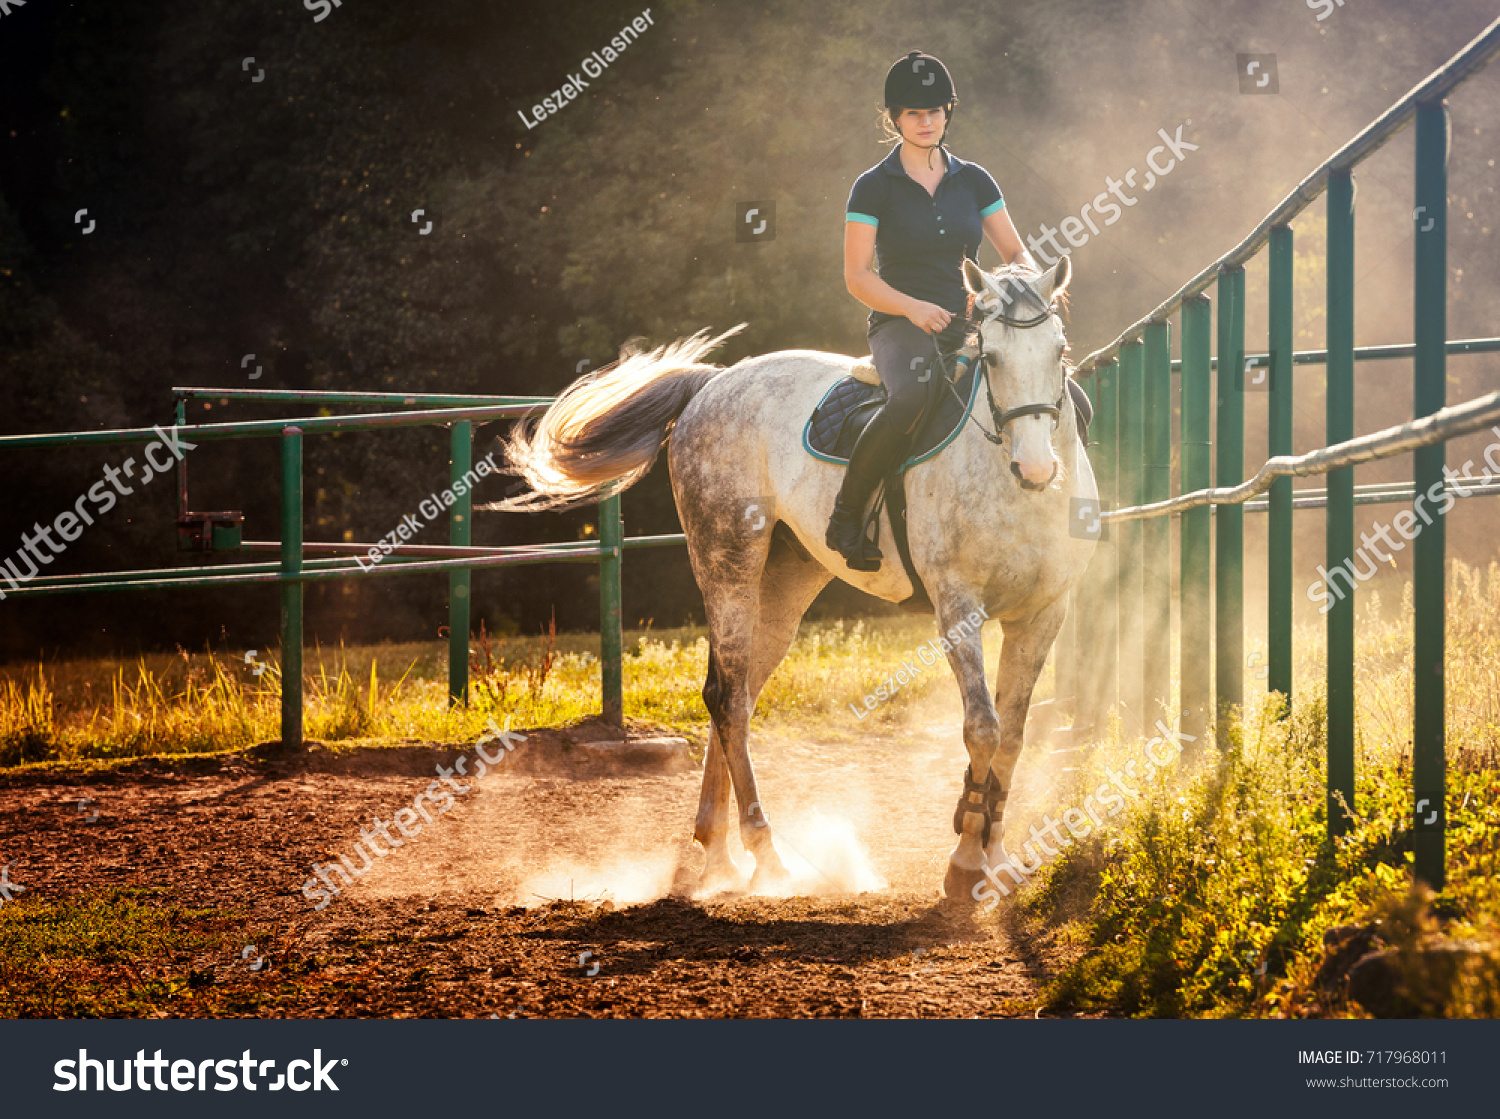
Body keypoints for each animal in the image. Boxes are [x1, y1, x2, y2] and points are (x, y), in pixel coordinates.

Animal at [493, 257, 1097, 901]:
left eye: (1060, 351)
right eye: (993, 358)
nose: (1035, 468)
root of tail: (711, 385)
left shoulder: (1044, 614)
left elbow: (1013, 734)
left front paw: (997, 856)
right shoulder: (958, 607)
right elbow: (982, 728)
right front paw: (963, 863)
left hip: (784, 588)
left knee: (732, 694)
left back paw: (717, 857)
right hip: (728, 562)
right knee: (729, 699)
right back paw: (766, 857)